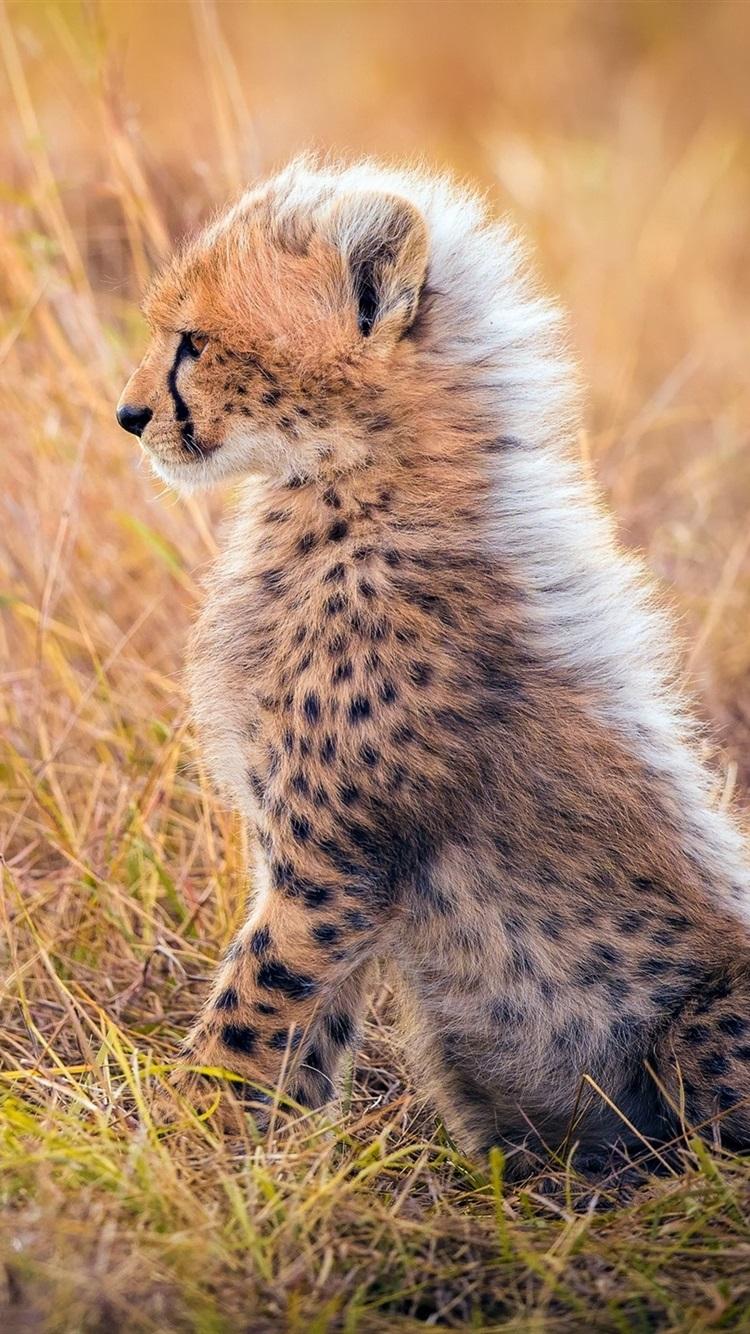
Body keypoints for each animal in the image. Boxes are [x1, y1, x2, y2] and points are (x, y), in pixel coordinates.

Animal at [116, 156, 750, 1183]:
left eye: (194, 343)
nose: (129, 417)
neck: (351, 487)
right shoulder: (325, 874)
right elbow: (306, 1026)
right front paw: (271, 1169)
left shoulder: (331, 864)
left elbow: (250, 1008)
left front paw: (179, 1151)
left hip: (697, 1032)